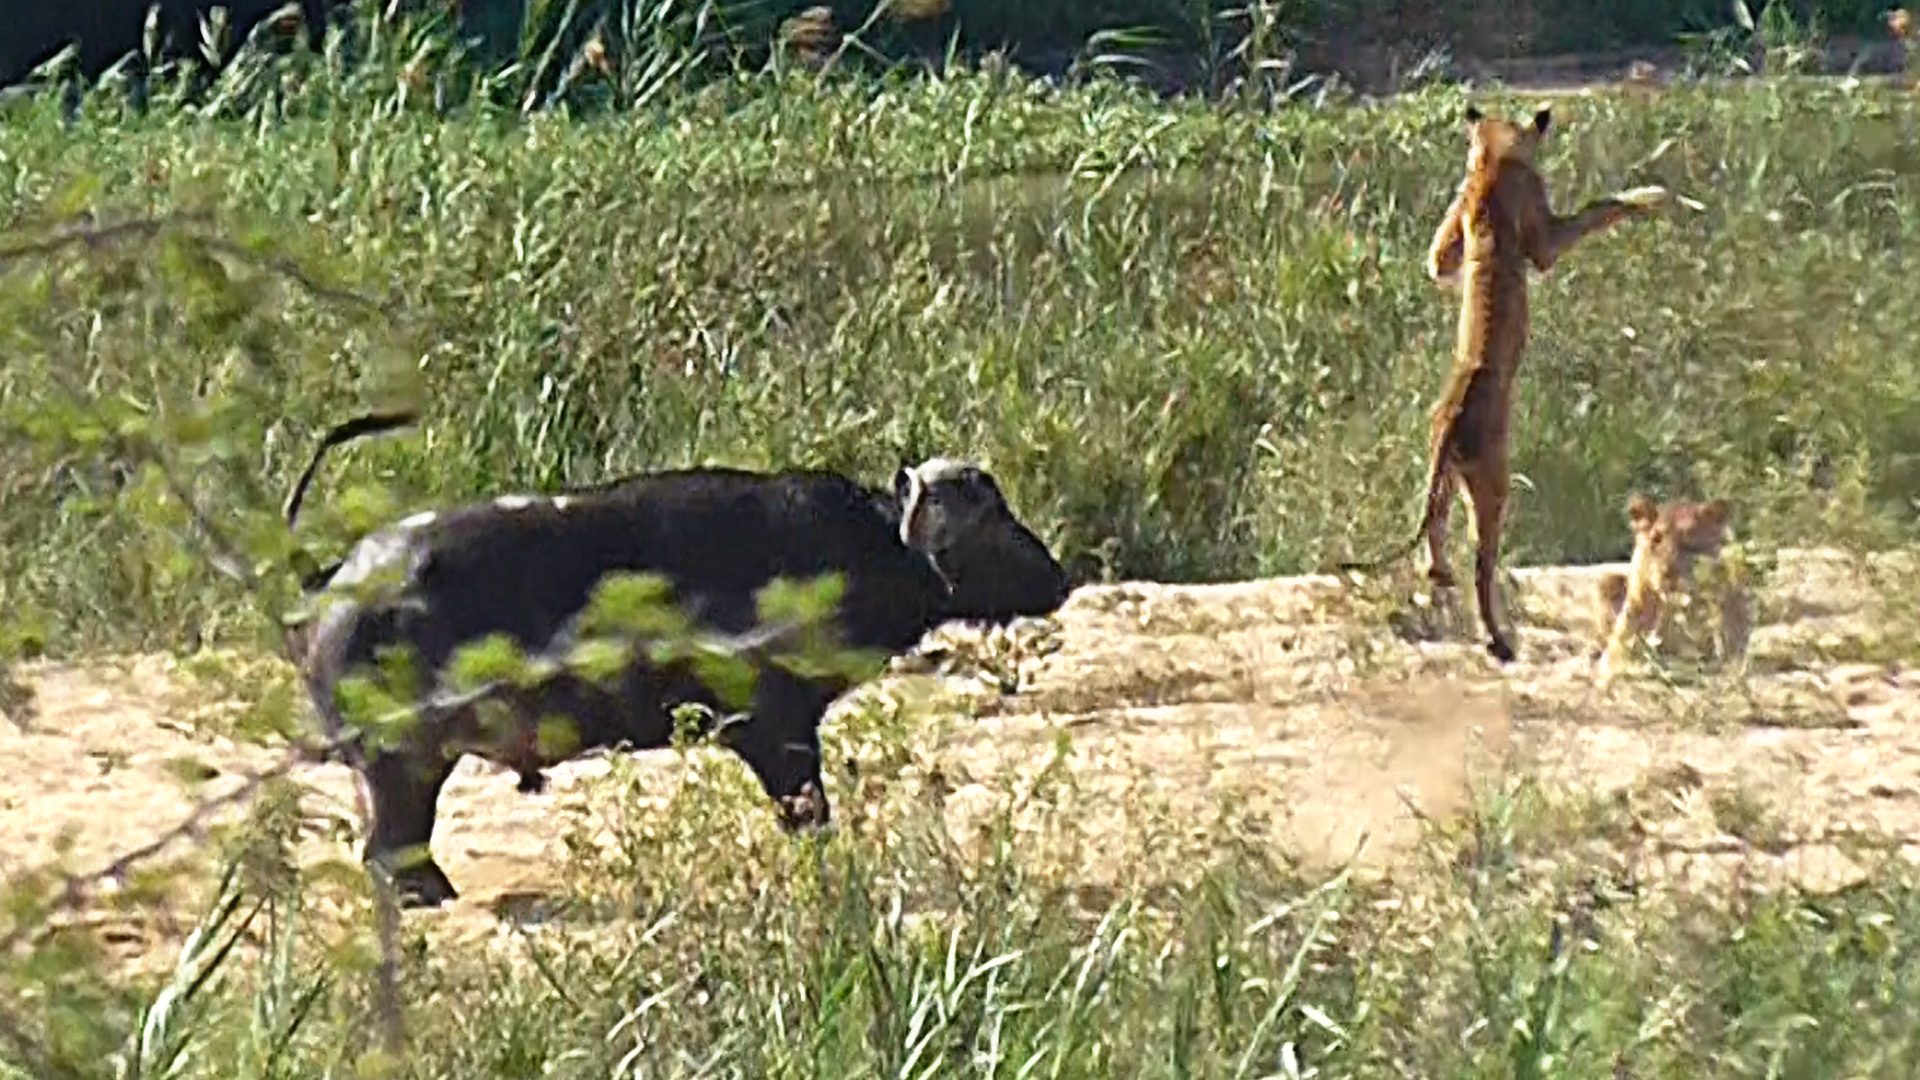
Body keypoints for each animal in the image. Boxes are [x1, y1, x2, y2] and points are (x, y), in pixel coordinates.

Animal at [1339, 104, 1674, 663]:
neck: (1493, 161)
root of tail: (1452, 420)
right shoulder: (1543, 238)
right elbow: (1594, 211)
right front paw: (1646, 197)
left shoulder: (1450, 234)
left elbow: (1438, 261)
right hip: (1493, 484)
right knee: (1482, 564)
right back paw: (1498, 640)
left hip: (1446, 480)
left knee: (1436, 529)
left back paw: (1440, 575)